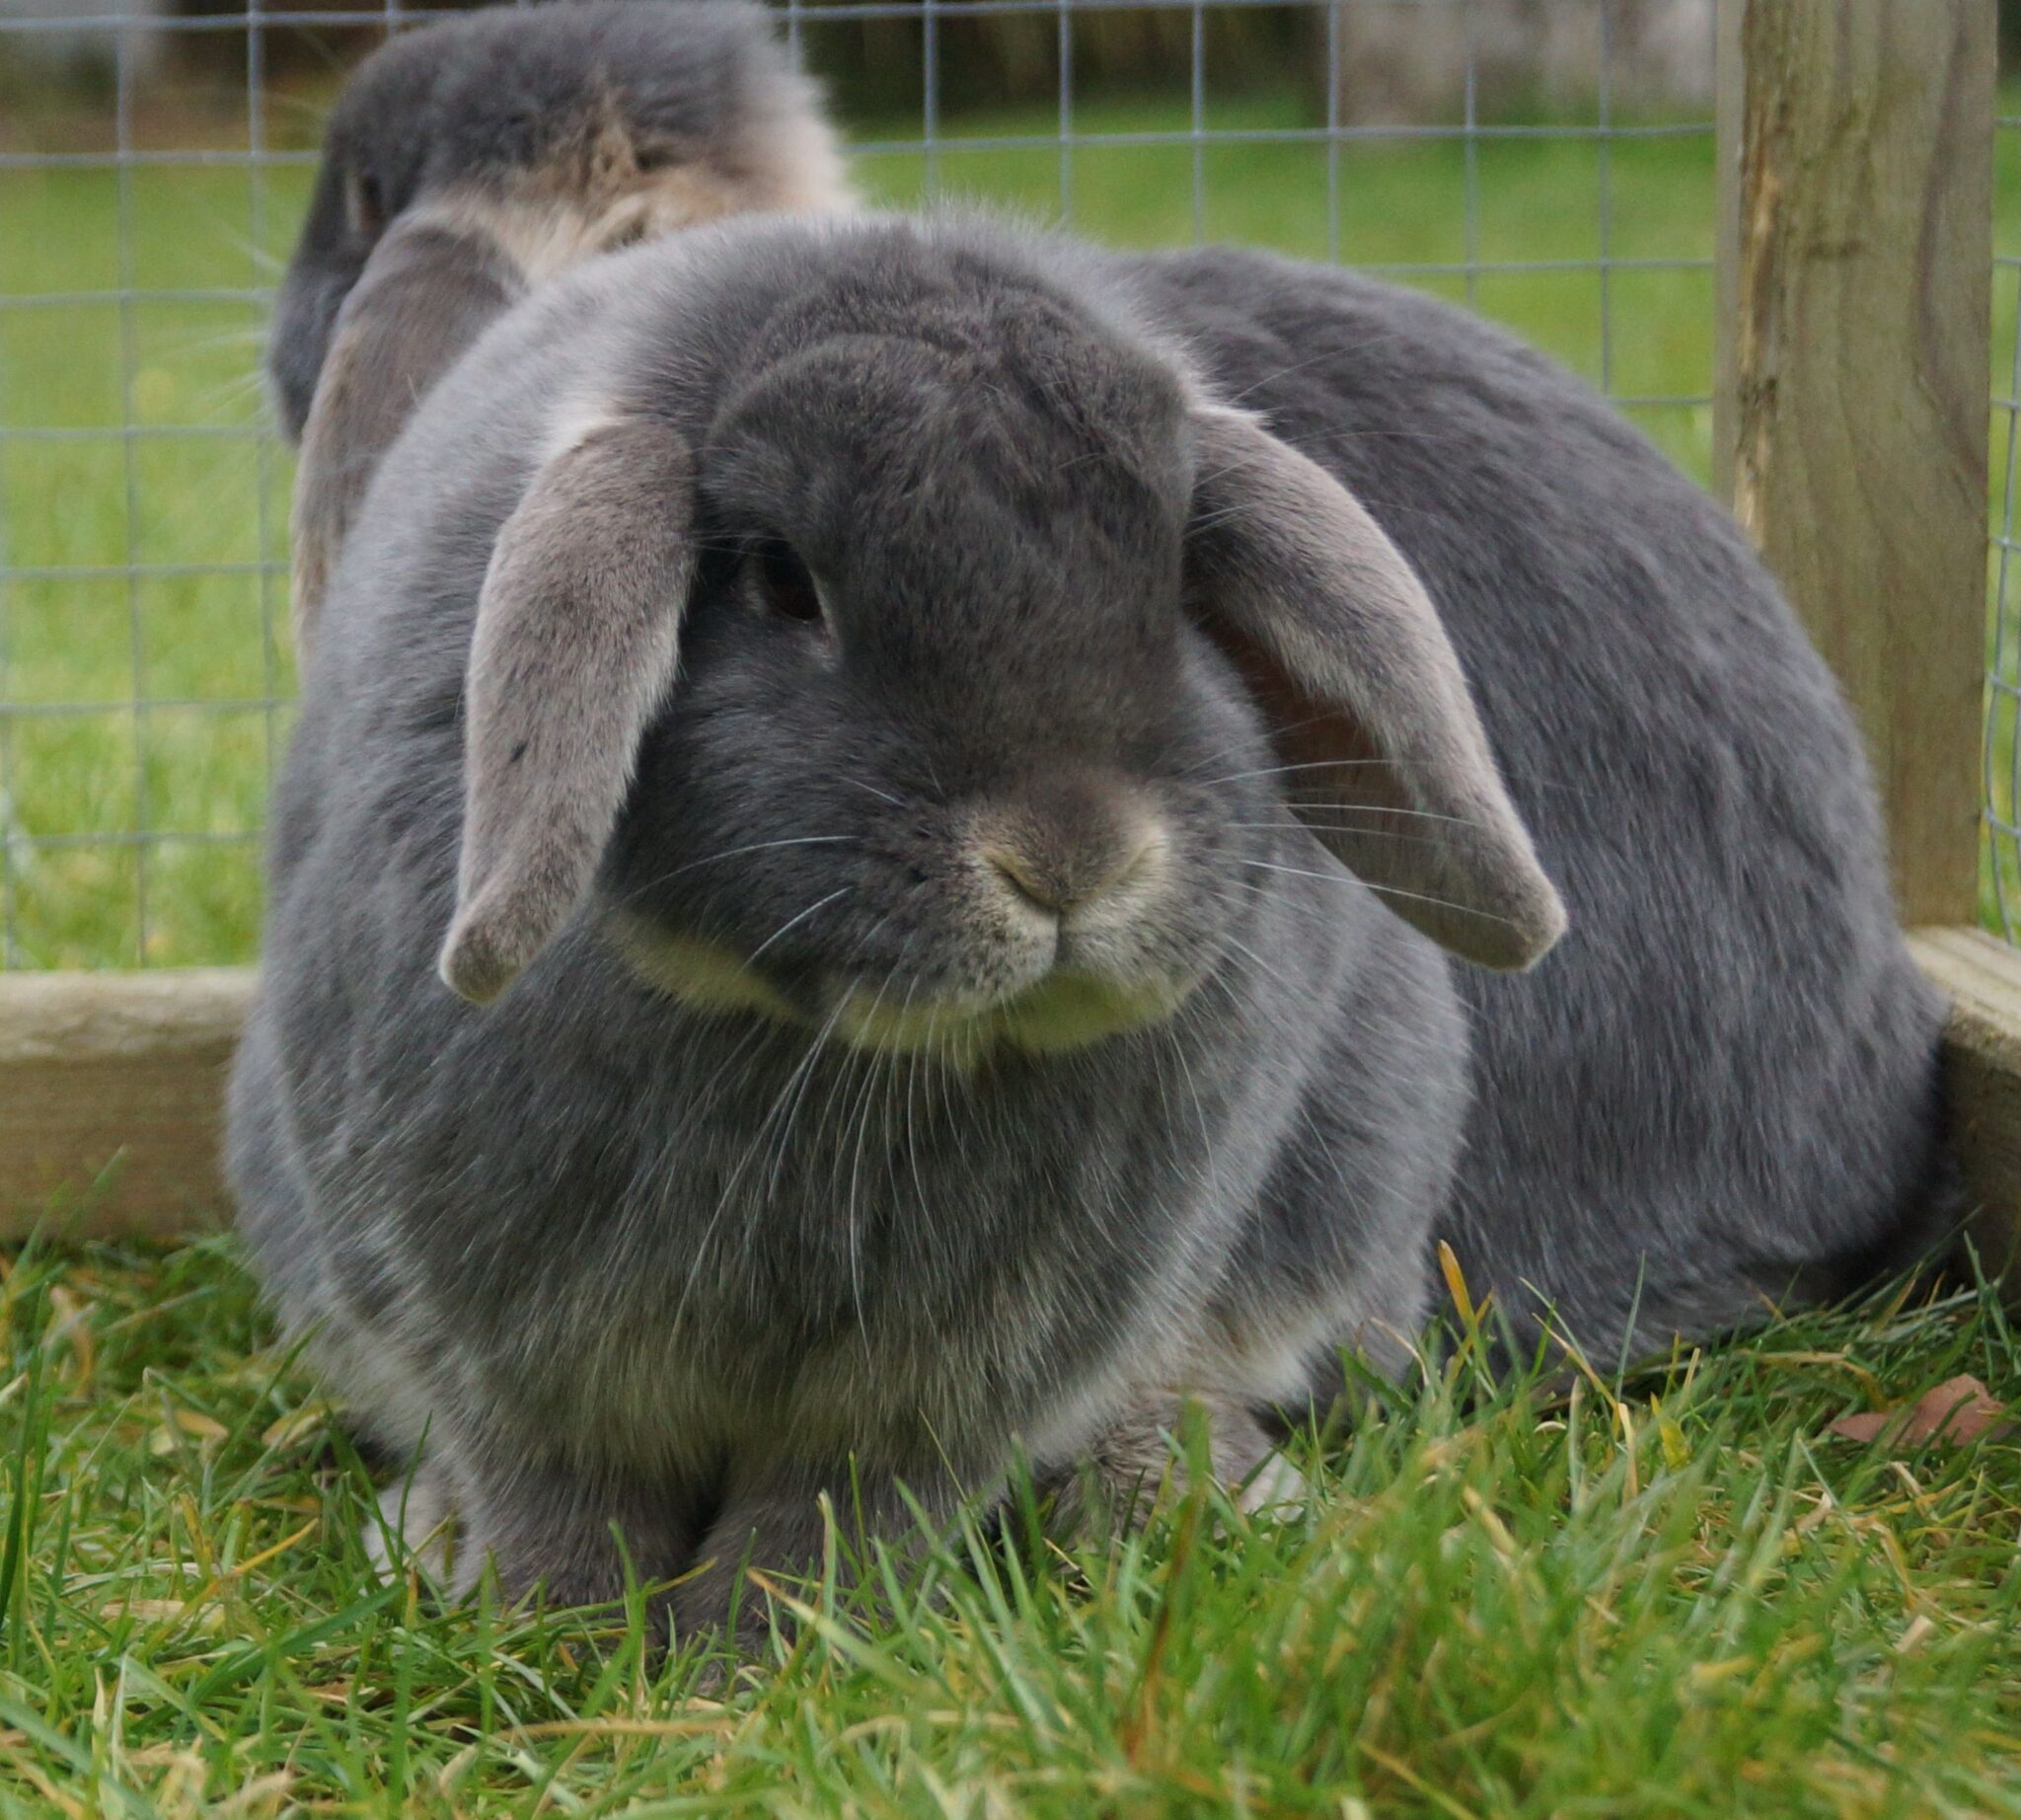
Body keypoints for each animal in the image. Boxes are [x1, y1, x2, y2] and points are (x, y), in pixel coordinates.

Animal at [227, 208, 1948, 1644]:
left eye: (1177, 583)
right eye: (781, 580)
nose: (1074, 857)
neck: (835, 1060)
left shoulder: (959, 1377)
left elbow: (837, 1514)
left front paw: (745, 1663)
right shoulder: (500, 1332)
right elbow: (553, 1494)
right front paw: (566, 1651)